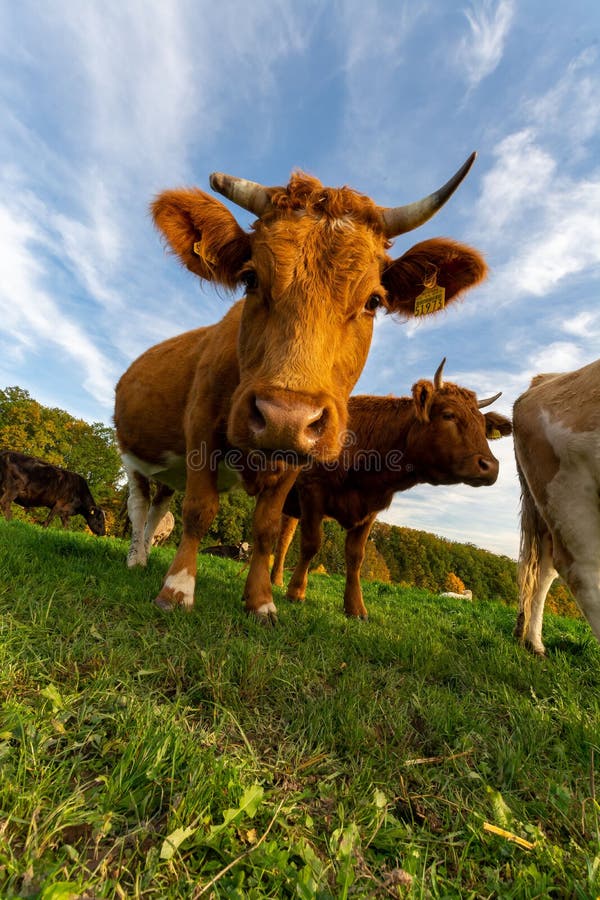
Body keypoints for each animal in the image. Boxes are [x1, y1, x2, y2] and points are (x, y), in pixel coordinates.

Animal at [270, 359, 512, 618]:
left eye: (483, 426)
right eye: (448, 415)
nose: (491, 466)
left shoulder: (370, 508)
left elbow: (355, 556)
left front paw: (355, 607)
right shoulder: (312, 491)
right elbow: (311, 543)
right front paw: (296, 592)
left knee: (284, 538)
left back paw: (275, 580)